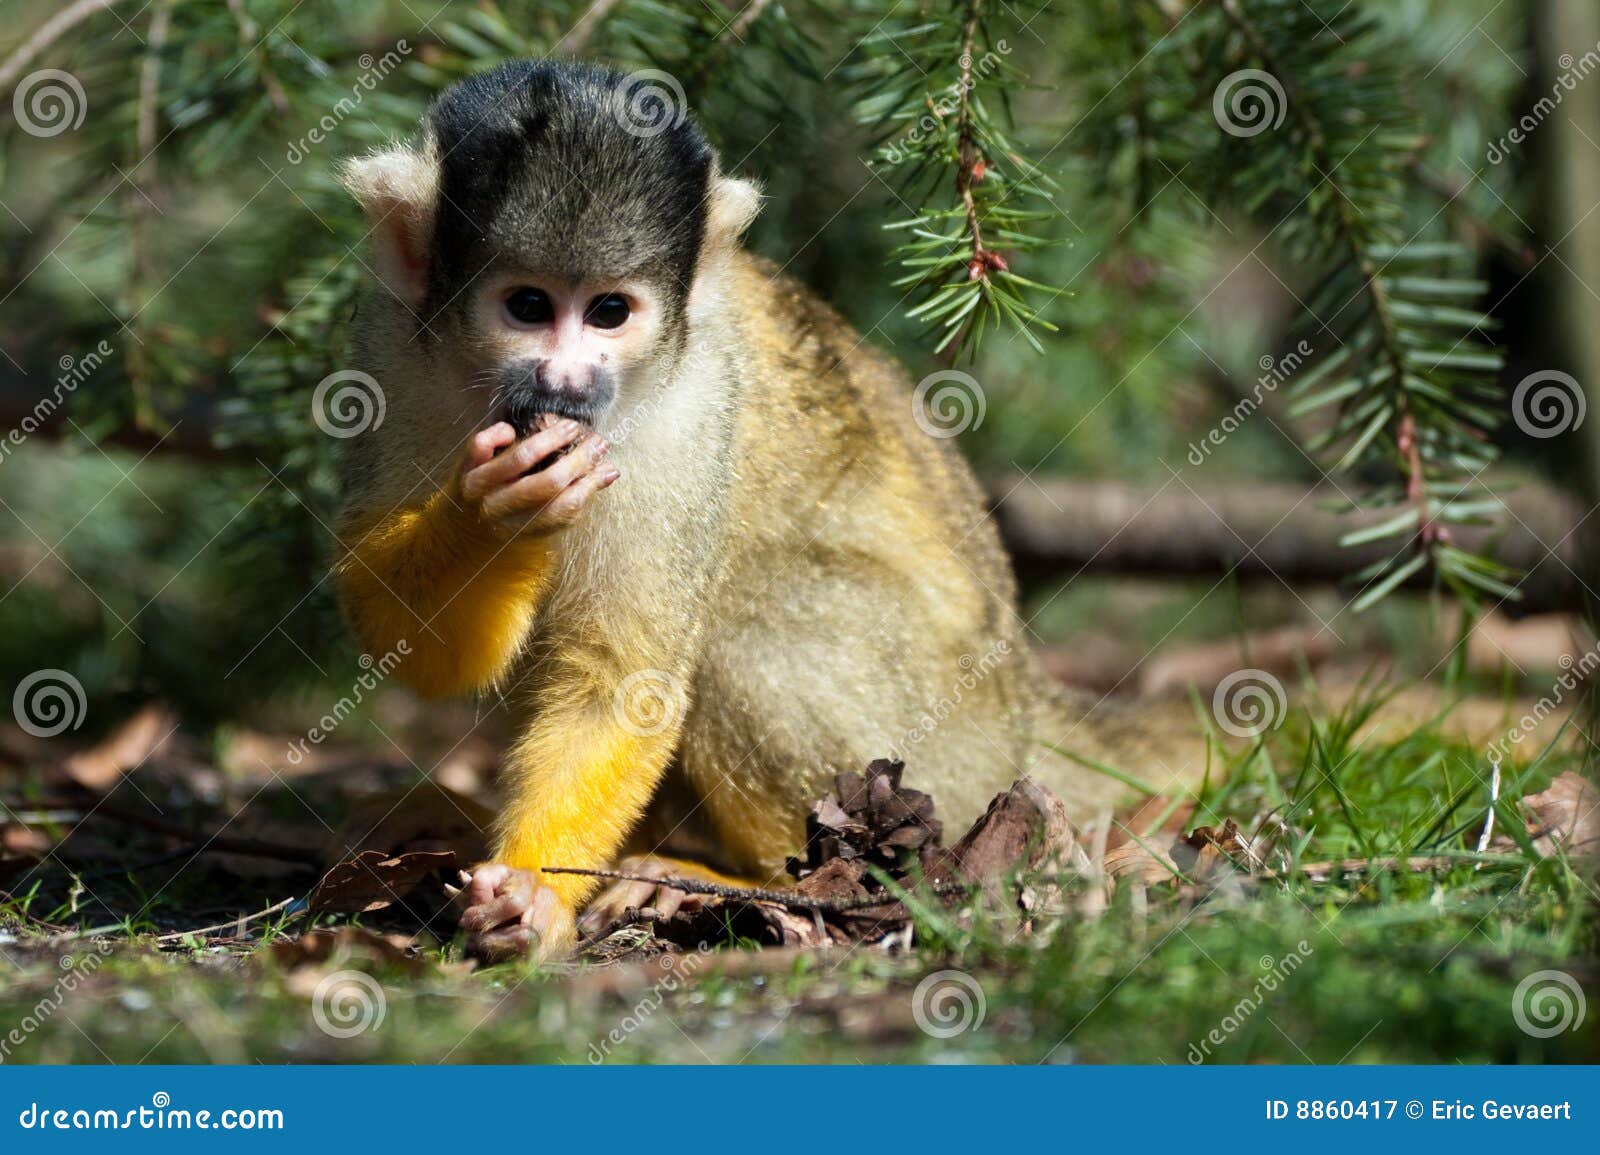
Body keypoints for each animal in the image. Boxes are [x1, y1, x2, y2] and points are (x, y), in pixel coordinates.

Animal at [332, 60, 1204, 962]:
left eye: (610, 312)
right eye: (529, 307)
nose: (567, 384)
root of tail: (1027, 700)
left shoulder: (691, 404)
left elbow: (626, 674)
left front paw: (535, 896)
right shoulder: (391, 344)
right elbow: (404, 641)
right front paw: (497, 514)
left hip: (954, 745)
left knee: (745, 628)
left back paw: (755, 879)